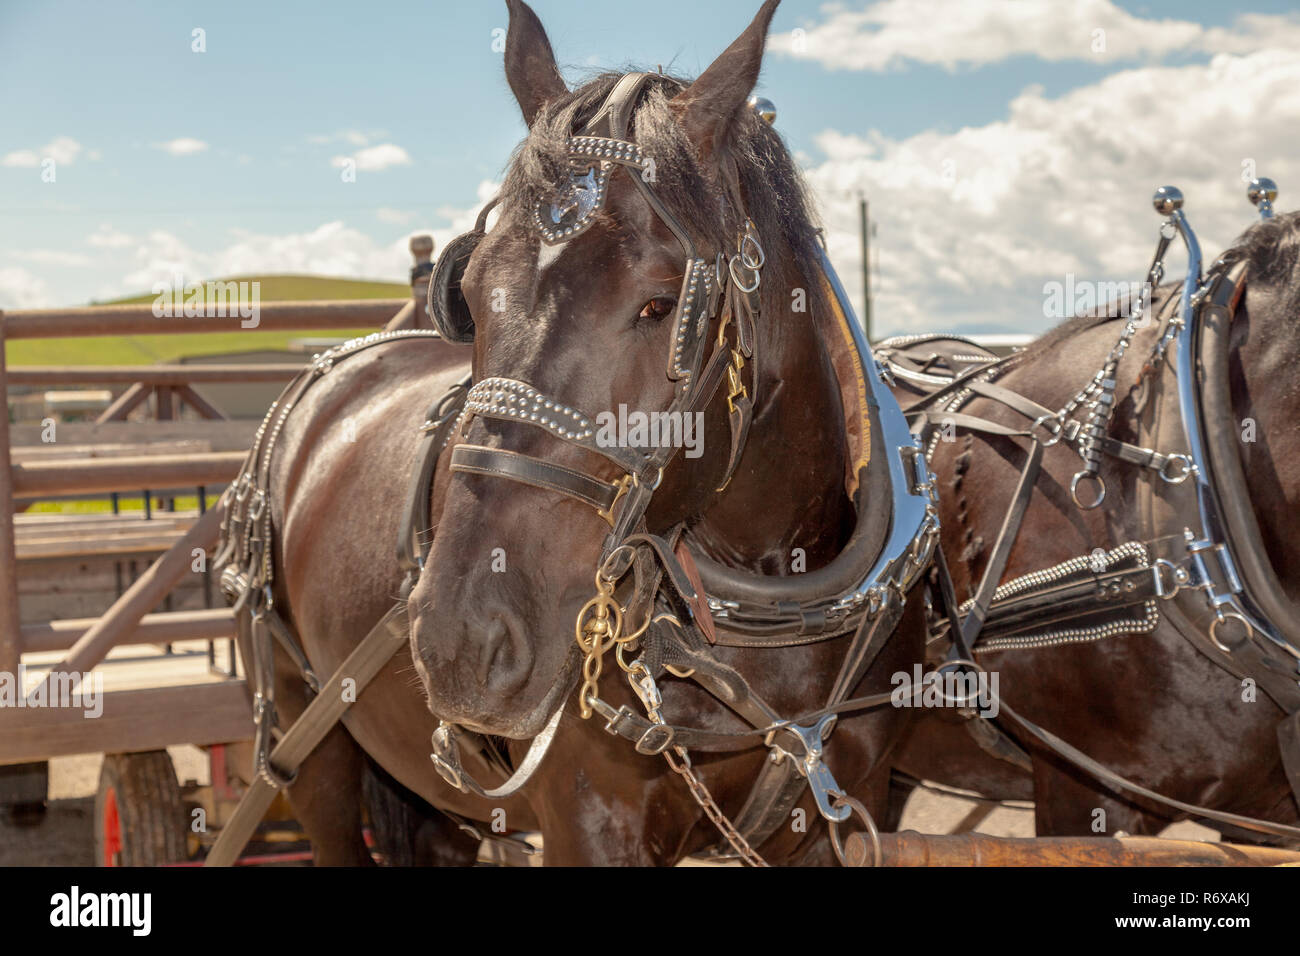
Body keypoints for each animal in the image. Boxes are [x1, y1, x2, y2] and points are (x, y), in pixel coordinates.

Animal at [218, 0, 935, 867]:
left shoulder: (856, 802)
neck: (769, 613)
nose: (462, 642)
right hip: (309, 737)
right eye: (470, 292)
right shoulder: (588, 822)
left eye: (661, 303)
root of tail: (334, 367)